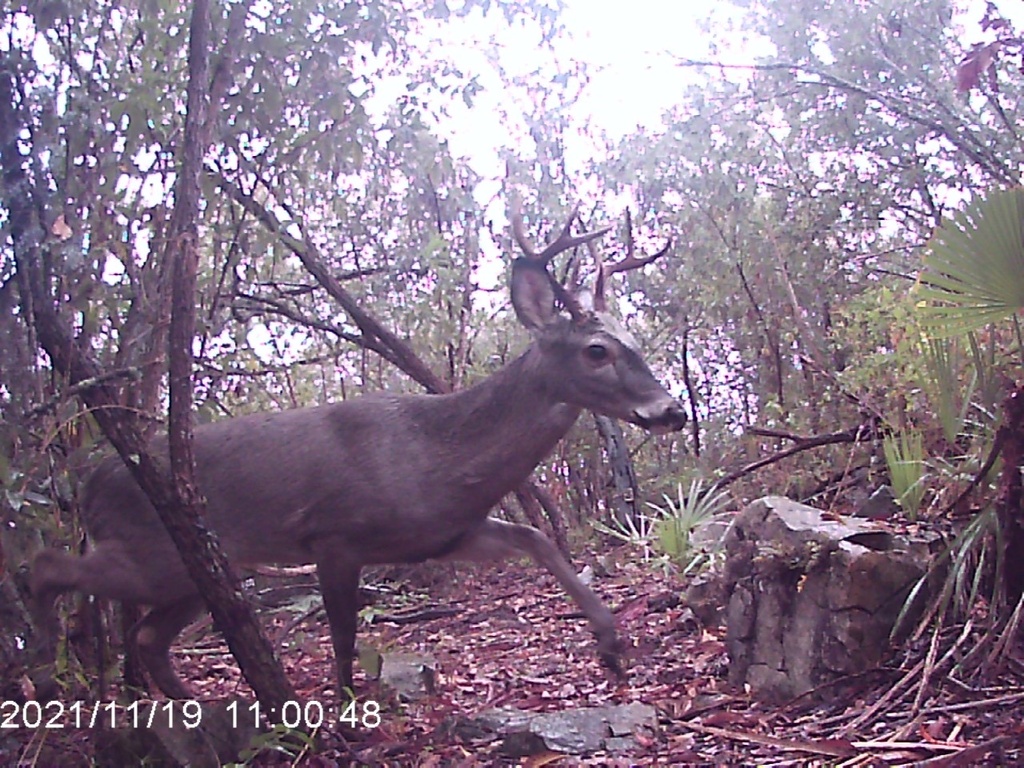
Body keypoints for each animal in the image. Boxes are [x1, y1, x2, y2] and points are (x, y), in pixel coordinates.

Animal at [30, 207, 687, 700]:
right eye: (597, 350)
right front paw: (346, 710)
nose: (672, 411)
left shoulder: (443, 534)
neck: (433, 455)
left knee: (145, 636)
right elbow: (343, 635)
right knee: (46, 569)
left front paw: (611, 646)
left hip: (191, 572)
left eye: (632, 337)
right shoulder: (334, 533)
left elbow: (538, 539)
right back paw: (43, 673)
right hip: (148, 553)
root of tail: (87, 480)